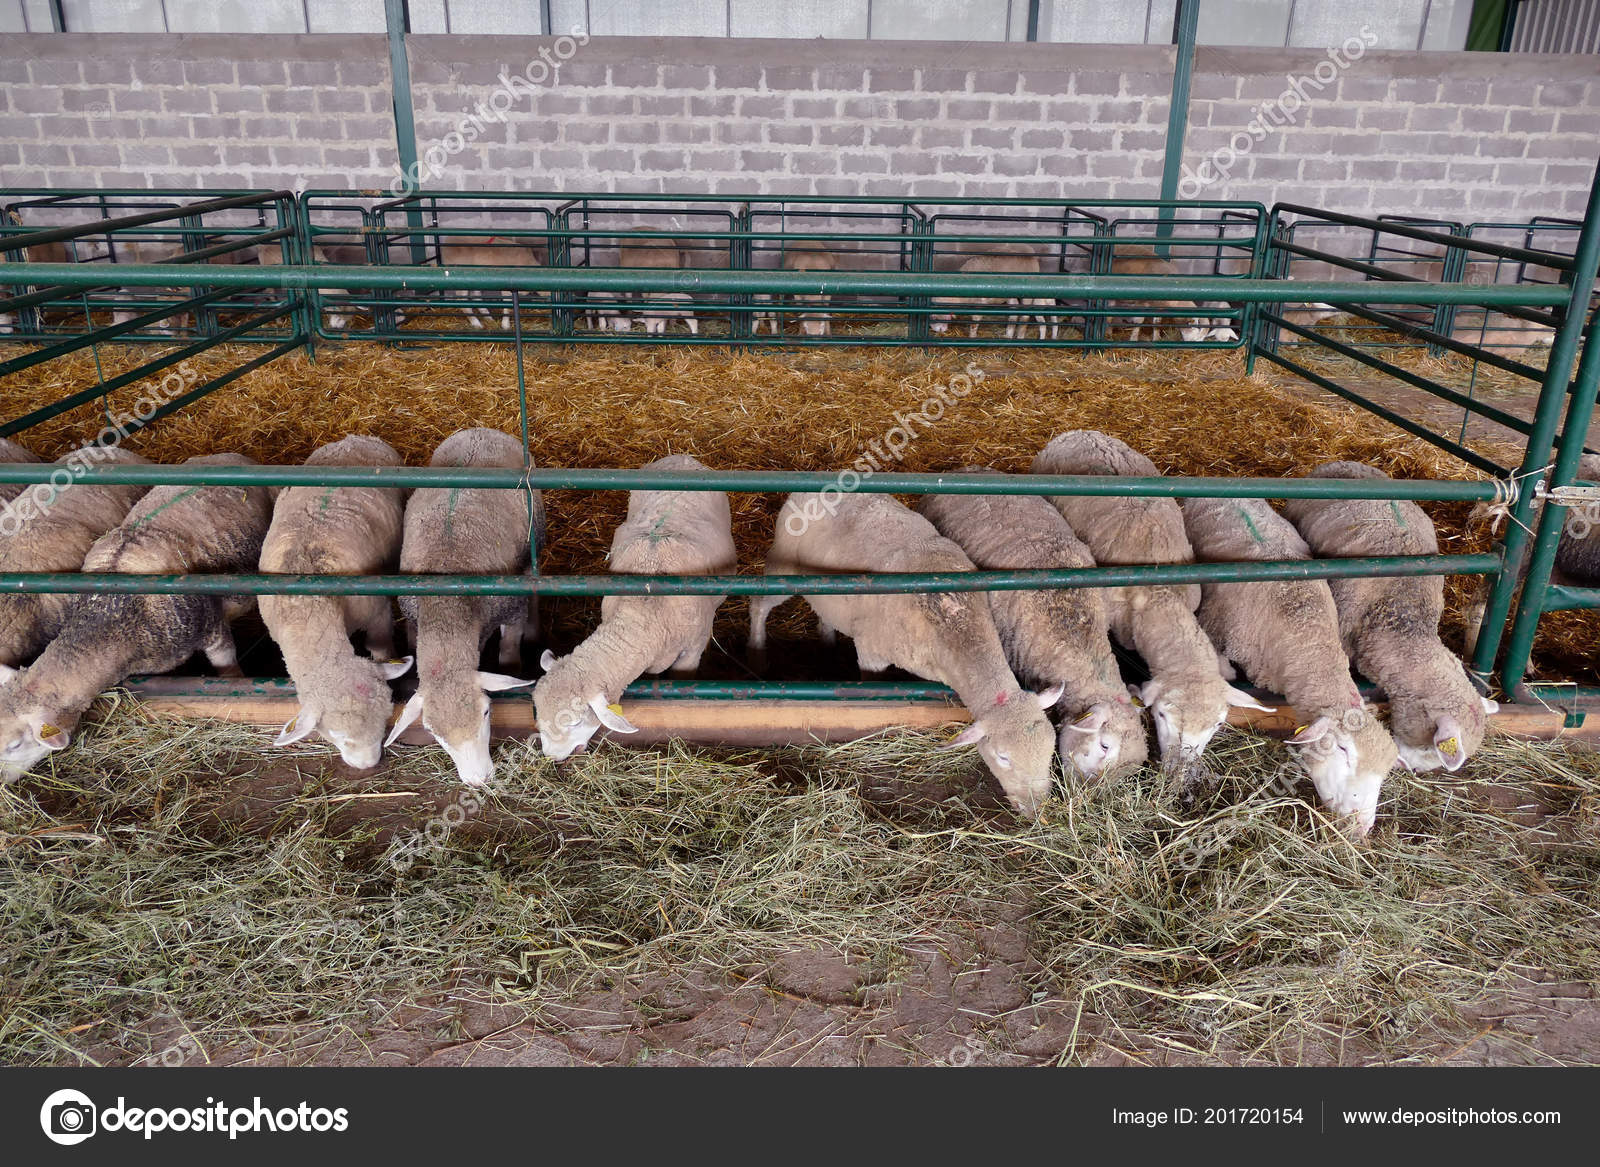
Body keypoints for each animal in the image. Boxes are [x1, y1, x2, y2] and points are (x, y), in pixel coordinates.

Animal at [259, 436, 411, 770]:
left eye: (386, 716)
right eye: (336, 734)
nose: (367, 765)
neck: (306, 611)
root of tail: (356, 438)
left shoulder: (377, 612)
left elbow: (381, 647)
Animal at [385, 428, 546, 785]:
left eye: (486, 711)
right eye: (432, 731)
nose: (479, 779)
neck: (448, 608)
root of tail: (481, 430)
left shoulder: (510, 609)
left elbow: (510, 655)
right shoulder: (413, 619)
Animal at [533, 454, 733, 760]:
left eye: (576, 721)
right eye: (537, 713)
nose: (552, 757)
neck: (643, 609)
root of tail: (682, 457)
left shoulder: (692, 651)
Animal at [748, 491, 1062, 816]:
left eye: (1051, 749)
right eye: (1003, 757)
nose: (1036, 811)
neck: (957, 623)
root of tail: (807, 490)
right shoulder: (871, 653)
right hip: (784, 565)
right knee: (758, 604)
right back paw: (757, 656)